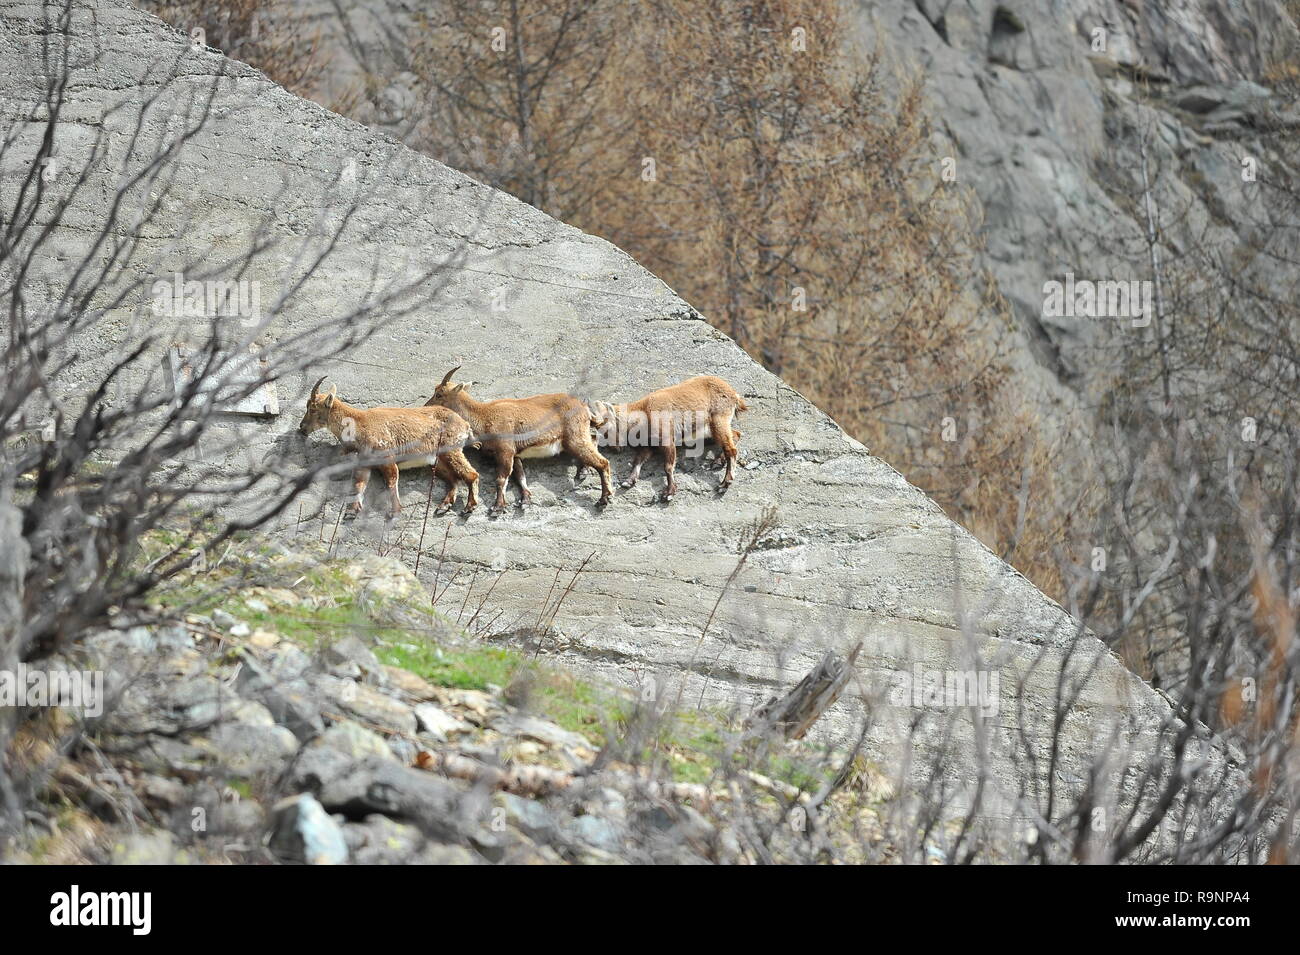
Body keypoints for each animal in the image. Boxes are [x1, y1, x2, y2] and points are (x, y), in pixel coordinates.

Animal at [299, 377, 479, 517]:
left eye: (313, 409)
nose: (302, 427)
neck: (359, 423)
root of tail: (465, 424)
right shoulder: (365, 463)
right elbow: (359, 484)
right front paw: (352, 510)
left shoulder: (387, 457)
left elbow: (392, 481)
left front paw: (395, 511)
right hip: (437, 460)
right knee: (454, 479)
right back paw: (444, 506)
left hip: (451, 448)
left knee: (471, 474)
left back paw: (469, 506)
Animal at [424, 366, 612, 514]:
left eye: (439, 394)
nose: (426, 407)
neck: (483, 416)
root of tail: (583, 407)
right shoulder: (515, 454)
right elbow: (520, 476)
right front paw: (525, 501)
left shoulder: (505, 450)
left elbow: (501, 479)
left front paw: (497, 508)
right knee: (593, 440)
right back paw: (583, 471)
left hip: (574, 437)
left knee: (602, 462)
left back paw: (604, 499)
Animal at [591, 375, 747, 501]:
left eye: (607, 430)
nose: (615, 449)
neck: (644, 413)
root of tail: (734, 395)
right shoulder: (648, 446)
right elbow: (637, 461)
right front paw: (629, 481)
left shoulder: (667, 439)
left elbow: (668, 467)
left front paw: (669, 493)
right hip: (708, 430)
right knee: (735, 435)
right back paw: (718, 461)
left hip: (718, 420)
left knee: (731, 449)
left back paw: (725, 483)